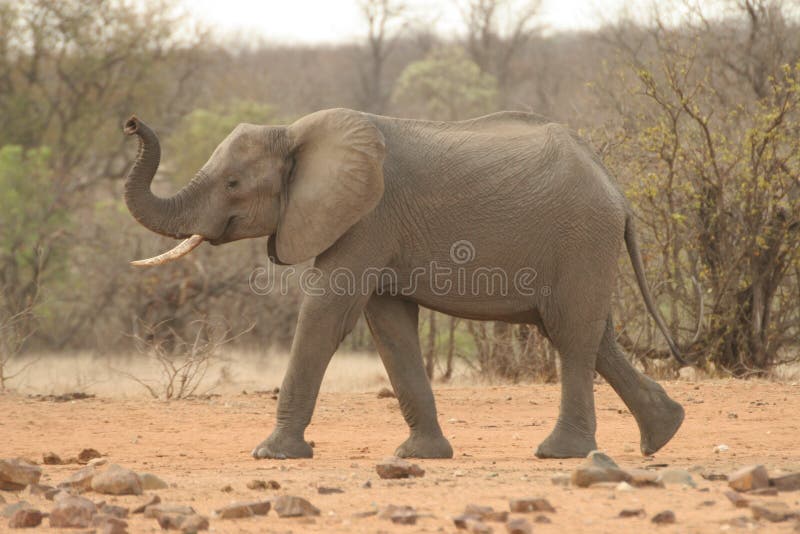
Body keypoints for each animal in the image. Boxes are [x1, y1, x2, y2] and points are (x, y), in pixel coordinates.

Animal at [122, 108, 685, 460]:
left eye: (233, 184)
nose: (130, 123)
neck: (293, 132)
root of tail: (616, 188)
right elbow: (389, 325)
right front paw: (421, 456)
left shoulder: (366, 216)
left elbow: (327, 312)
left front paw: (271, 453)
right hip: (584, 245)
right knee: (590, 335)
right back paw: (664, 434)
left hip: (581, 236)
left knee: (571, 335)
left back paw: (560, 453)